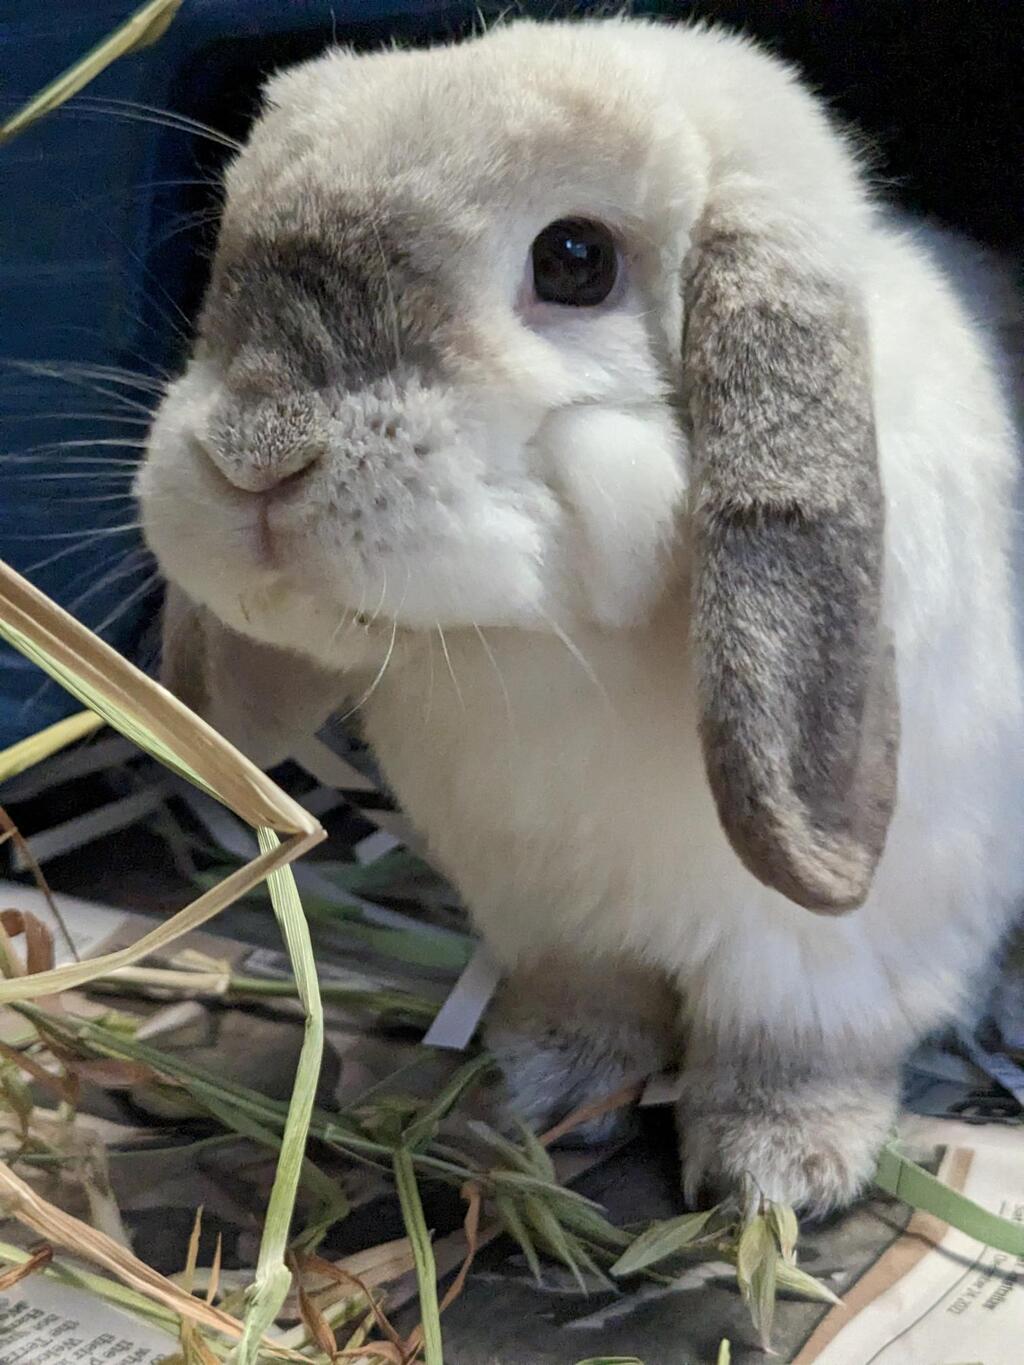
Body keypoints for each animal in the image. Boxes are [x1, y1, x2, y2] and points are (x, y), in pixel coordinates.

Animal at [136, 16, 1024, 1216]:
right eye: (230, 246)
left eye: (573, 260)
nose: (254, 459)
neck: (544, 660)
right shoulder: (557, 925)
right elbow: (588, 1007)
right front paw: (538, 1096)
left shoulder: (831, 955)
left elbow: (793, 1049)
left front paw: (776, 1170)